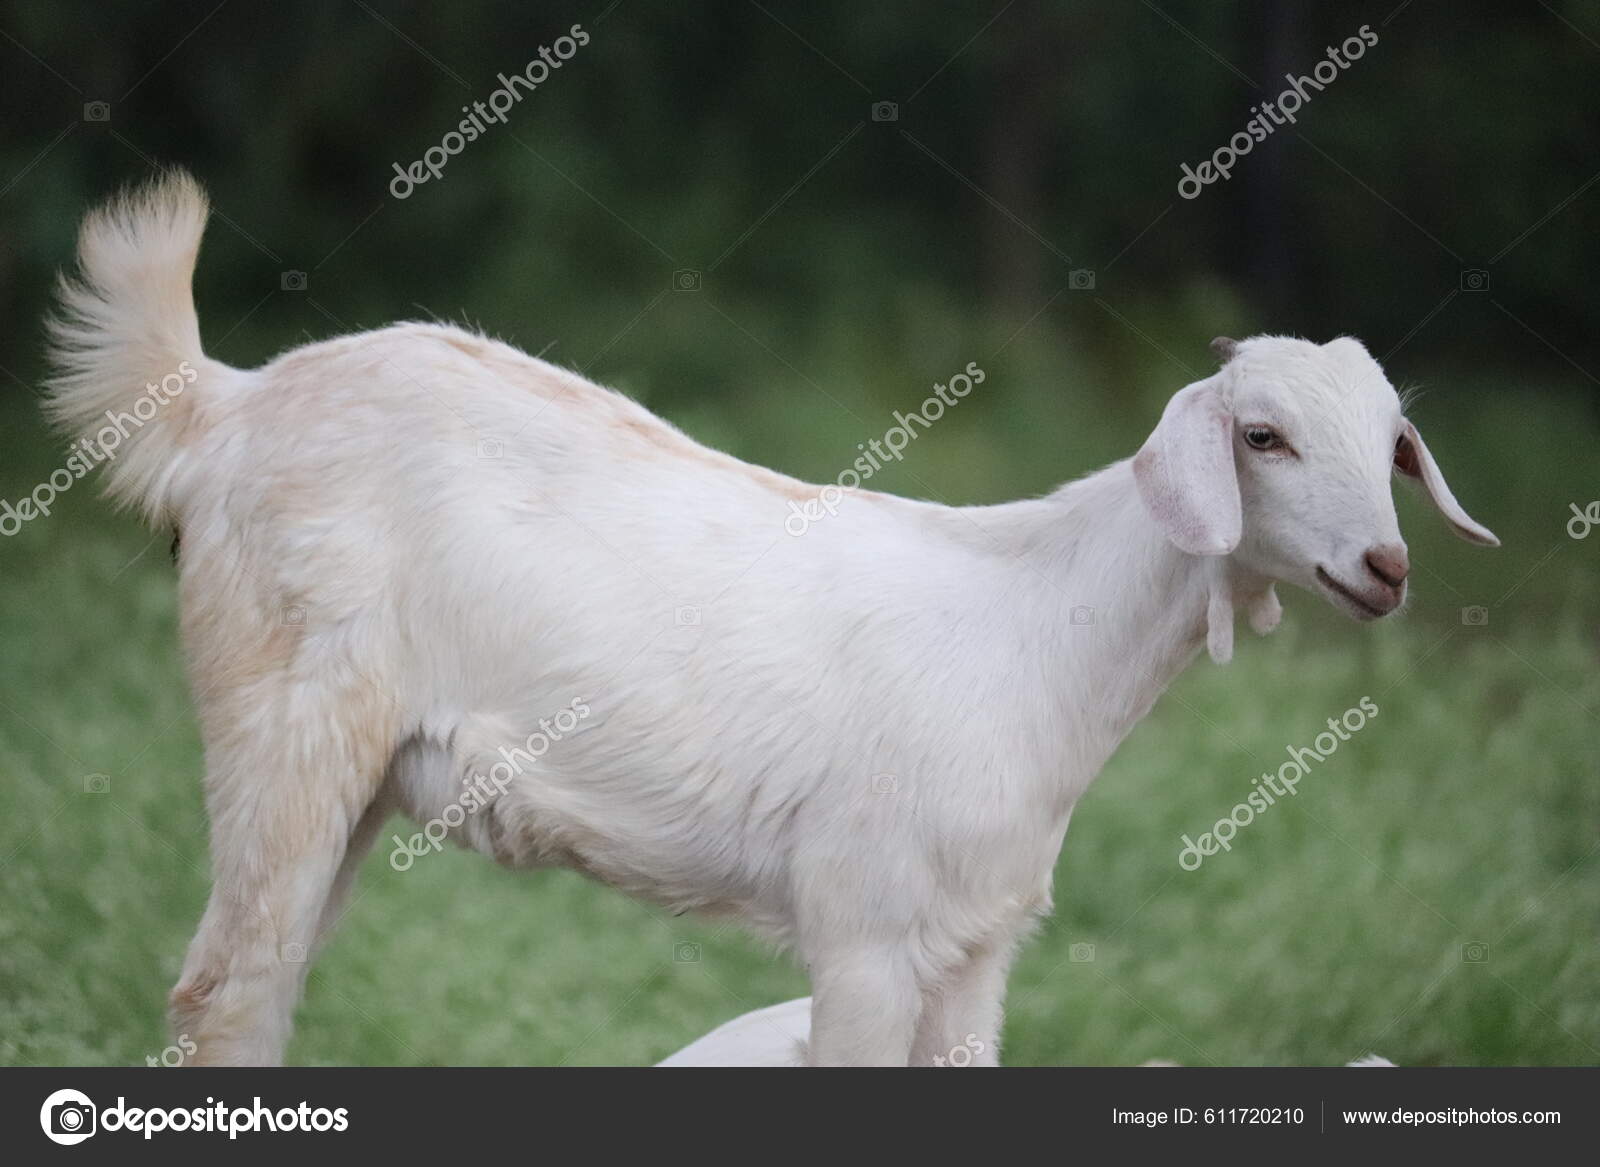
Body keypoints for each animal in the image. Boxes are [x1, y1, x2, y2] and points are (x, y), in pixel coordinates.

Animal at [44, 173, 1497, 1066]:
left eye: (1394, 441)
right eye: (1261, 435)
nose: (1383, 567)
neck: (1039, 627)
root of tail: (221, 403)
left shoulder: (978, 944)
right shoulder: (862, 925)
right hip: (283, 716)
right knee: (225, 992)